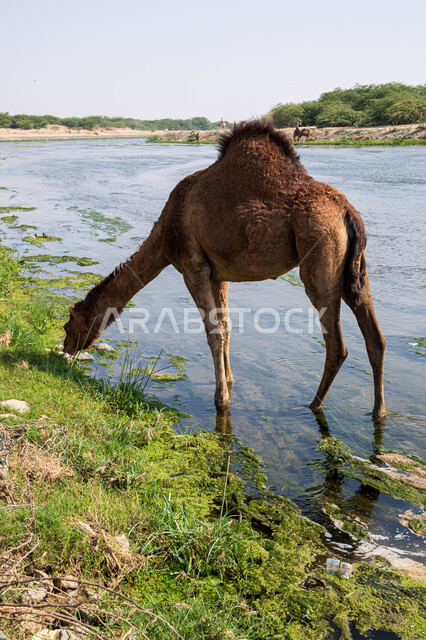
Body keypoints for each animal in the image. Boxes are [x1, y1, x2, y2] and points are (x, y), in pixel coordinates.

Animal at [64, 120, 386, 418]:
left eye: (69, 325)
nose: (66, 348)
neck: (165, 233)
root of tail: (348, 211)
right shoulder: (218, 274)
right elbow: (227, 326)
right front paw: (230, 381)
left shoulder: (192, 267)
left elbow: (213, 332)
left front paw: (221, 399)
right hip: (355, 269)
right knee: (375, 337)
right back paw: (378, 411)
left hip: (320, 250)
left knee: (336, 344)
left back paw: (314, 404)